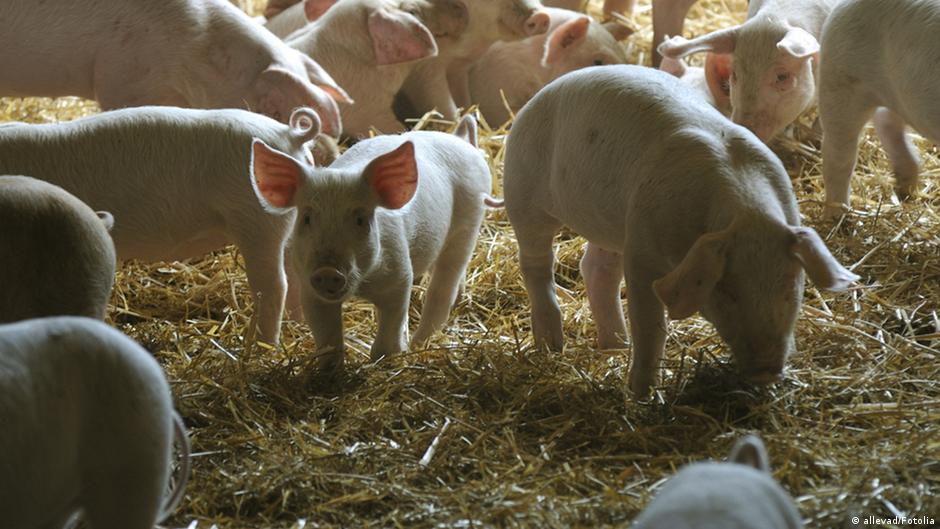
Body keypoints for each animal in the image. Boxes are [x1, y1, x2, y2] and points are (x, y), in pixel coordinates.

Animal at [251, 115, 493, 368]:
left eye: (360, 219)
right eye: (307, 218)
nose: (328, 270)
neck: (361, 286)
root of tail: (460, 140)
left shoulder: (399, 274)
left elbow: (388, 333)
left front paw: (390, 358)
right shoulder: (309, 287)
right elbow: (328, 340)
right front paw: (329, 369)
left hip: (469, 223)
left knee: (443, 287)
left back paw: (418, 343)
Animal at [503, 65, 858, 398]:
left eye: (789, 286)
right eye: (727, 290)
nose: (766, 371)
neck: (744, 210)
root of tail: (535, 101)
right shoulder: (643, 251)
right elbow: (651, 326)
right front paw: (642, 395)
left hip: (614, 222)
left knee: (596, 269)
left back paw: (615, 346)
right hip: (524, 196)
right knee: (536, 265)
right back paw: (551, 346)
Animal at [818, 0, 940, 218]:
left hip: (898, 92)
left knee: (886, 121)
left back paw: (907, 188)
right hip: (839, 77)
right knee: (838, 153)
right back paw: (837, 217)